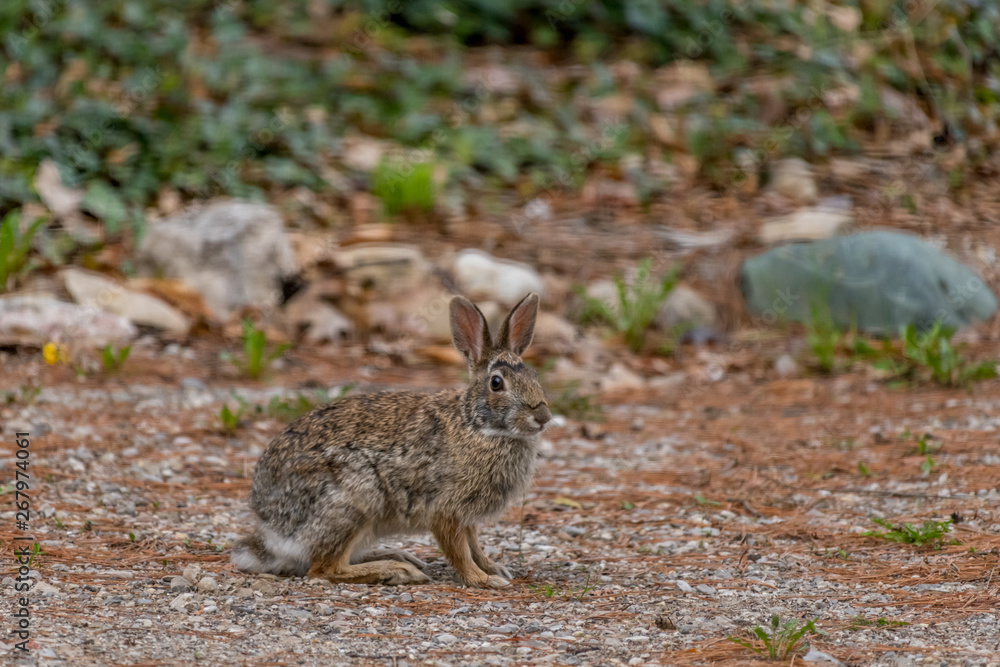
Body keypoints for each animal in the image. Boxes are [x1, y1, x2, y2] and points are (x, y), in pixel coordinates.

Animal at [231, 293, 551, 588]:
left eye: (535, 376)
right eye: (497, 383)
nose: (543, 416)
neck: (478, 425)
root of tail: (271, 531)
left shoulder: (467, 516)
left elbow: (474, 545)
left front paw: (494, 568)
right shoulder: (445, 509)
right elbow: (459, 551)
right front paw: (483, 579)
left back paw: (398, 557)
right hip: (354, 499)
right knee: (324, 569)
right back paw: (397, 570)